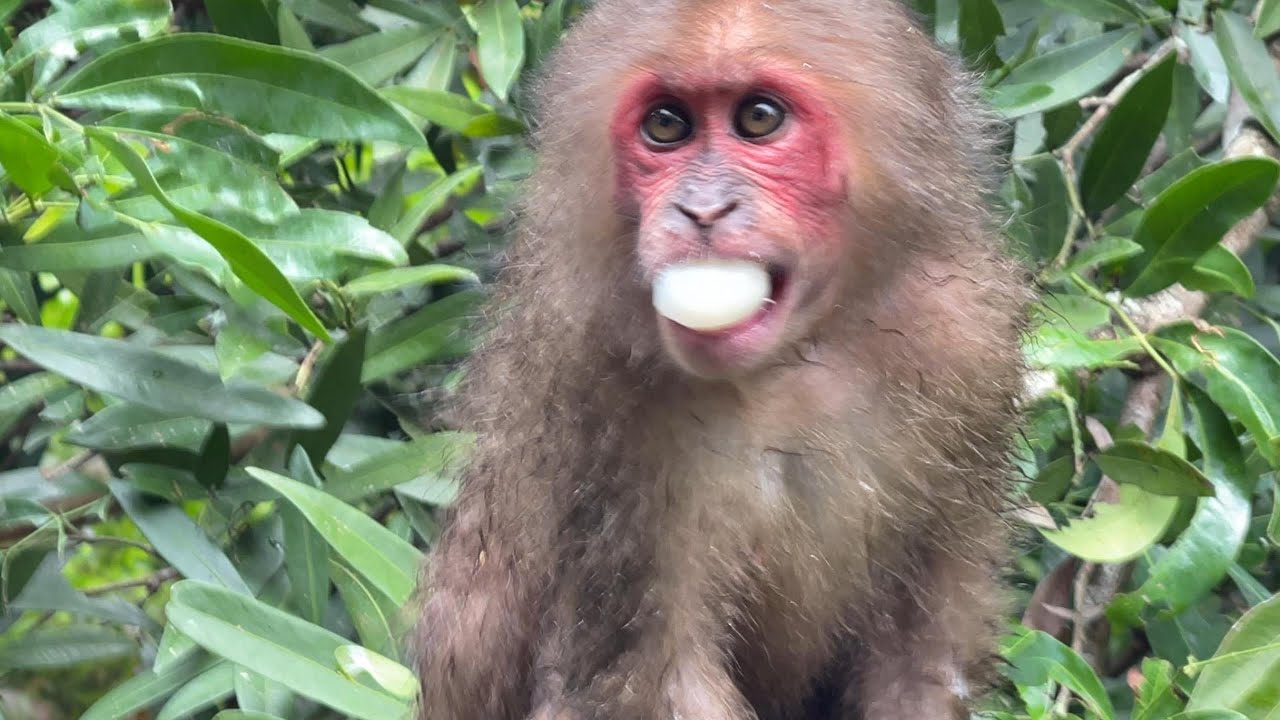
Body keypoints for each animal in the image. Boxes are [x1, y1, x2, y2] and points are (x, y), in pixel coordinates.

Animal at [412, 1, 1031, 718]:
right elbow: (651, 680)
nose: (702, 209)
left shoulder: (965, 340)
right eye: (666, 126)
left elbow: (921, 666)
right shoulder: (607, 391)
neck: (794, 361)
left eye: (758, 119)